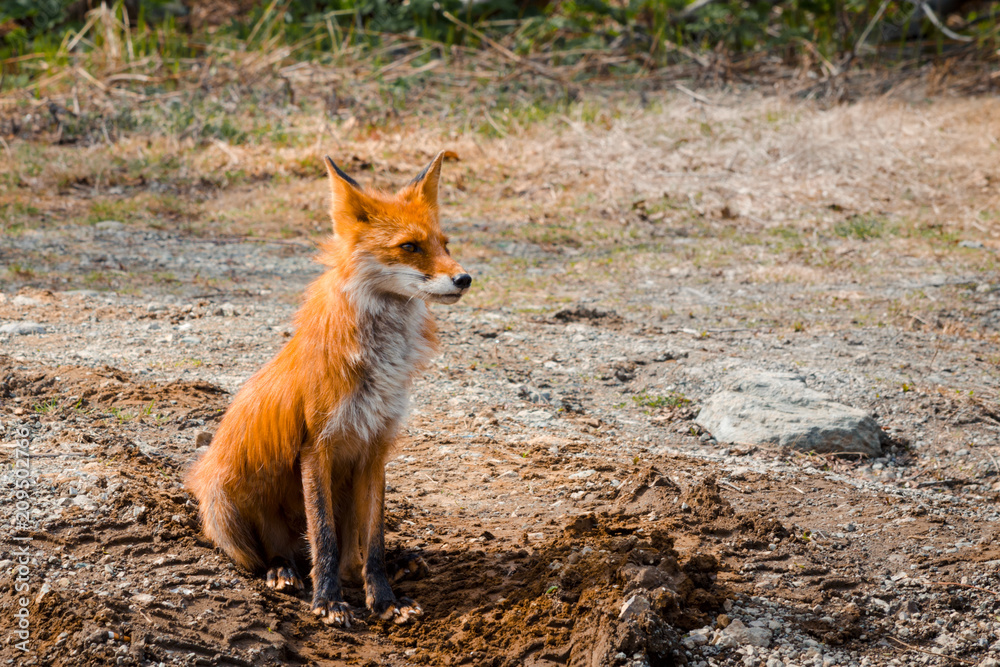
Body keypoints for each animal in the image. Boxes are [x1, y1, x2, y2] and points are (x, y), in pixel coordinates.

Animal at [186, 151, 472, 627]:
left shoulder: (376, 448)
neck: (378, 365)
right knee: (279, 552)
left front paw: (385, 600)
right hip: (226, 500)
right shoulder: (315, 446)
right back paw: (282, 571)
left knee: (353, 557)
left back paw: (395, 564)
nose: (465, 278)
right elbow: (324, 536)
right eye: (410, 247)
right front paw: (327, 602)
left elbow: (372, 544)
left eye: (445, 245)